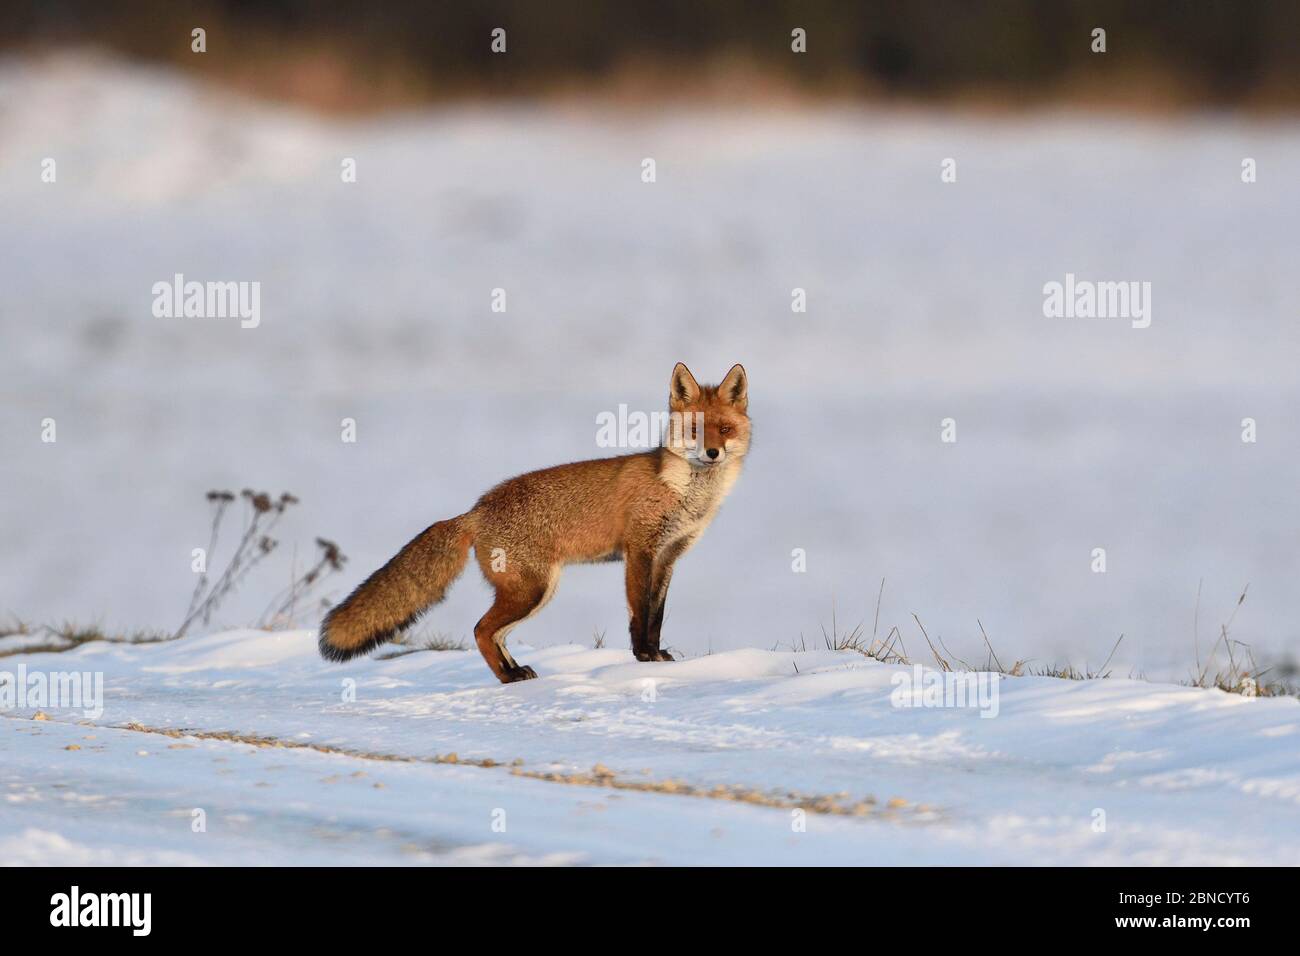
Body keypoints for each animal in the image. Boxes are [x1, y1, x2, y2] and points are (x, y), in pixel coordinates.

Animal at [318, 362, 750, 683]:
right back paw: (508, 678)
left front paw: (658, 654)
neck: (684, 492)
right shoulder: (639, 551)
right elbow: (638, 614)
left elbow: (656, 615)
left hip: (535, 591)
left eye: (724, 429)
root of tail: (475, 509)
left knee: (493, 633)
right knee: (480, 630)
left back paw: (515, 673)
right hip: (532, 589)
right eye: (694, 430)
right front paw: (643, 657)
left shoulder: (668, 557)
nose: (712, 452)